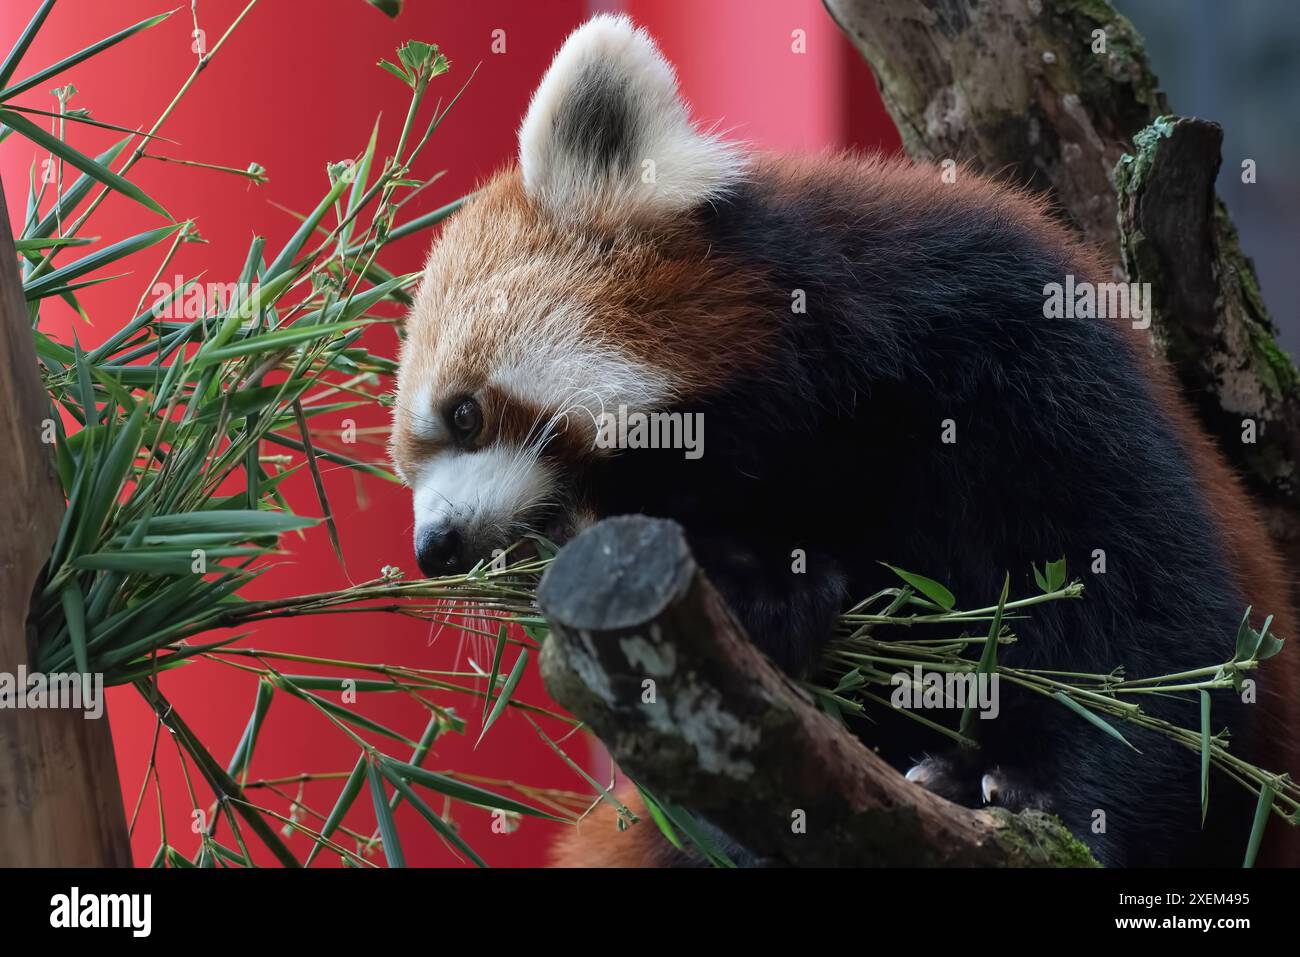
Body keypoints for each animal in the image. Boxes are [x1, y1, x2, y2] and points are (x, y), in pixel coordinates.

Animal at [389, 15, 1299, 867]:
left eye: (465, 413)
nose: (433, 547)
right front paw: (767, 587)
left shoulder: (1020, 341)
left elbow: (1150, 622)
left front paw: (1058, 801)